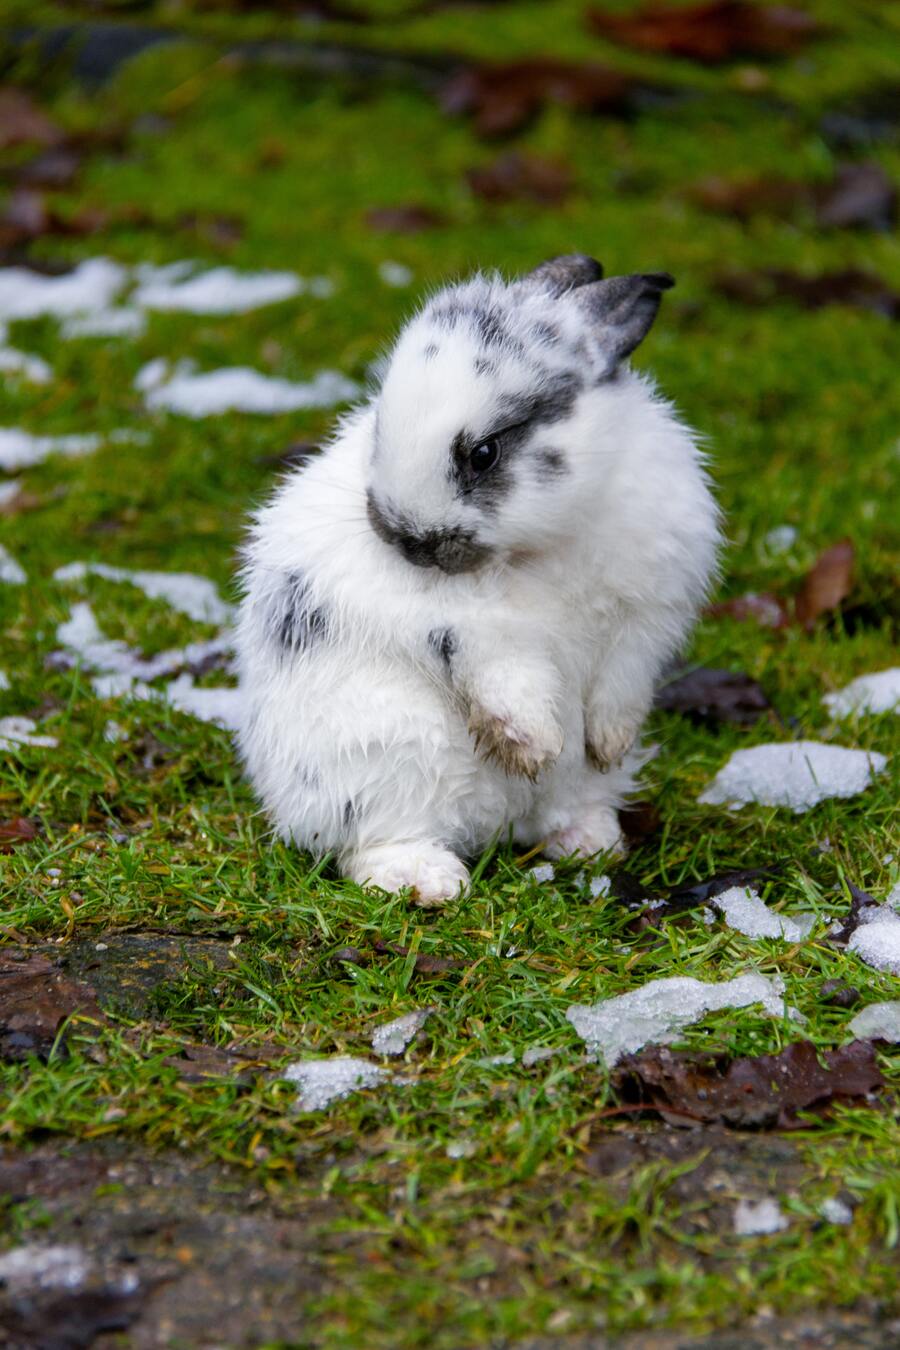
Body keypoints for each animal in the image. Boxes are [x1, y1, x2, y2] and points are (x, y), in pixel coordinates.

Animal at [235, 254, 720, 905]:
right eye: (380, 426)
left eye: (484, 453)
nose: (405, 538)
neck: (547, 539)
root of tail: (496, 826)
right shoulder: (477, 633)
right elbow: (507, 681)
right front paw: (535, 748)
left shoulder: (645, 620)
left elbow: (622, 685)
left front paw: (603, 742)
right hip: (381, 757)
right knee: (367, 843)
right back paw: (429, 880)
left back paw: (589, 841)